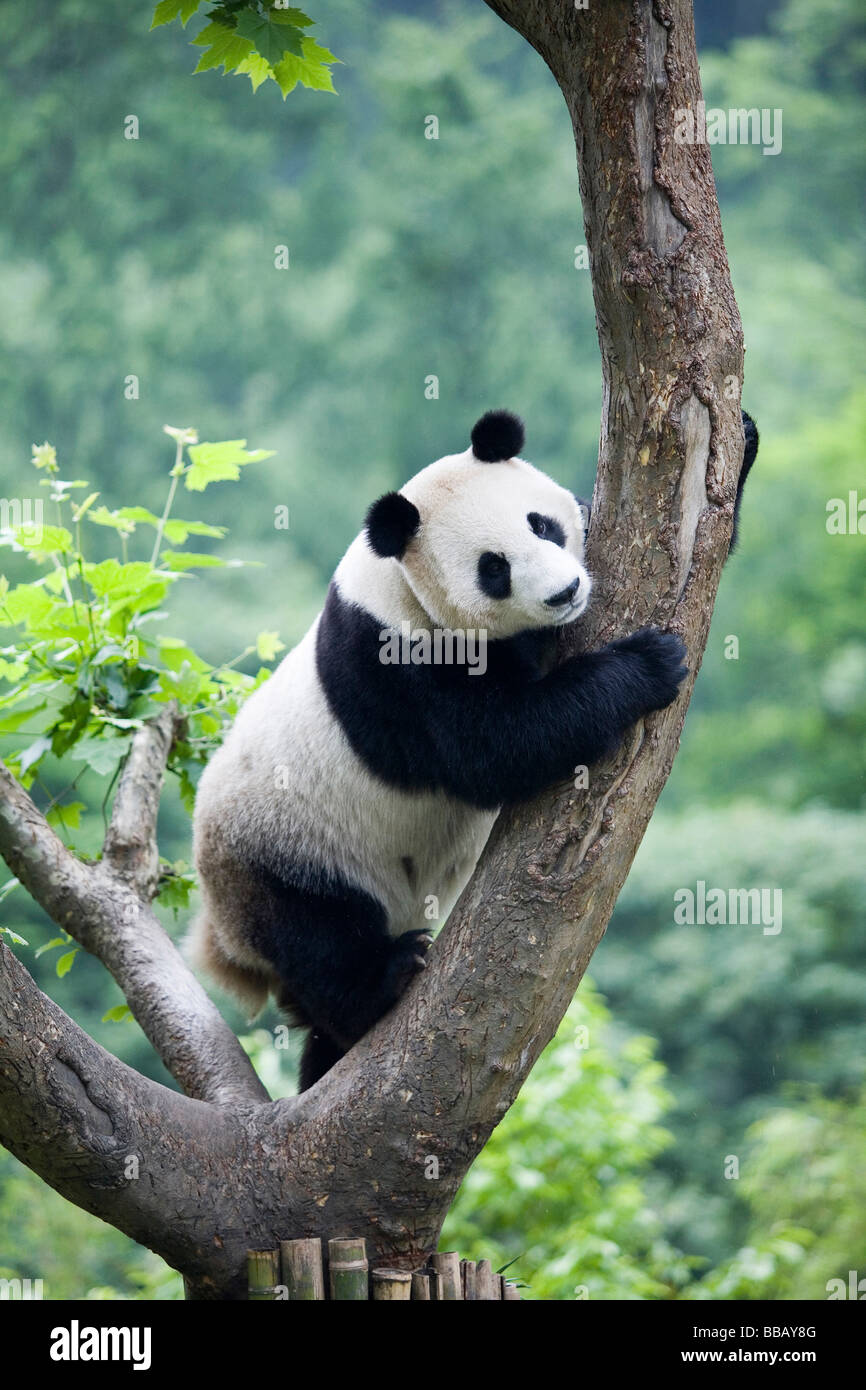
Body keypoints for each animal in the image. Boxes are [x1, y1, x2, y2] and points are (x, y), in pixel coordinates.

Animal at [191, 408, 757, 1090]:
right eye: (494, 568)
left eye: (540, 525)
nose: (566, 592)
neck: (395, 579)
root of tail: (222, 941)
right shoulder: (395, 663)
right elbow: (492, 747)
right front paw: (647, 665)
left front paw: (743, 438)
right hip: (278, 853)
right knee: (319, 938)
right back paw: (386, 978)